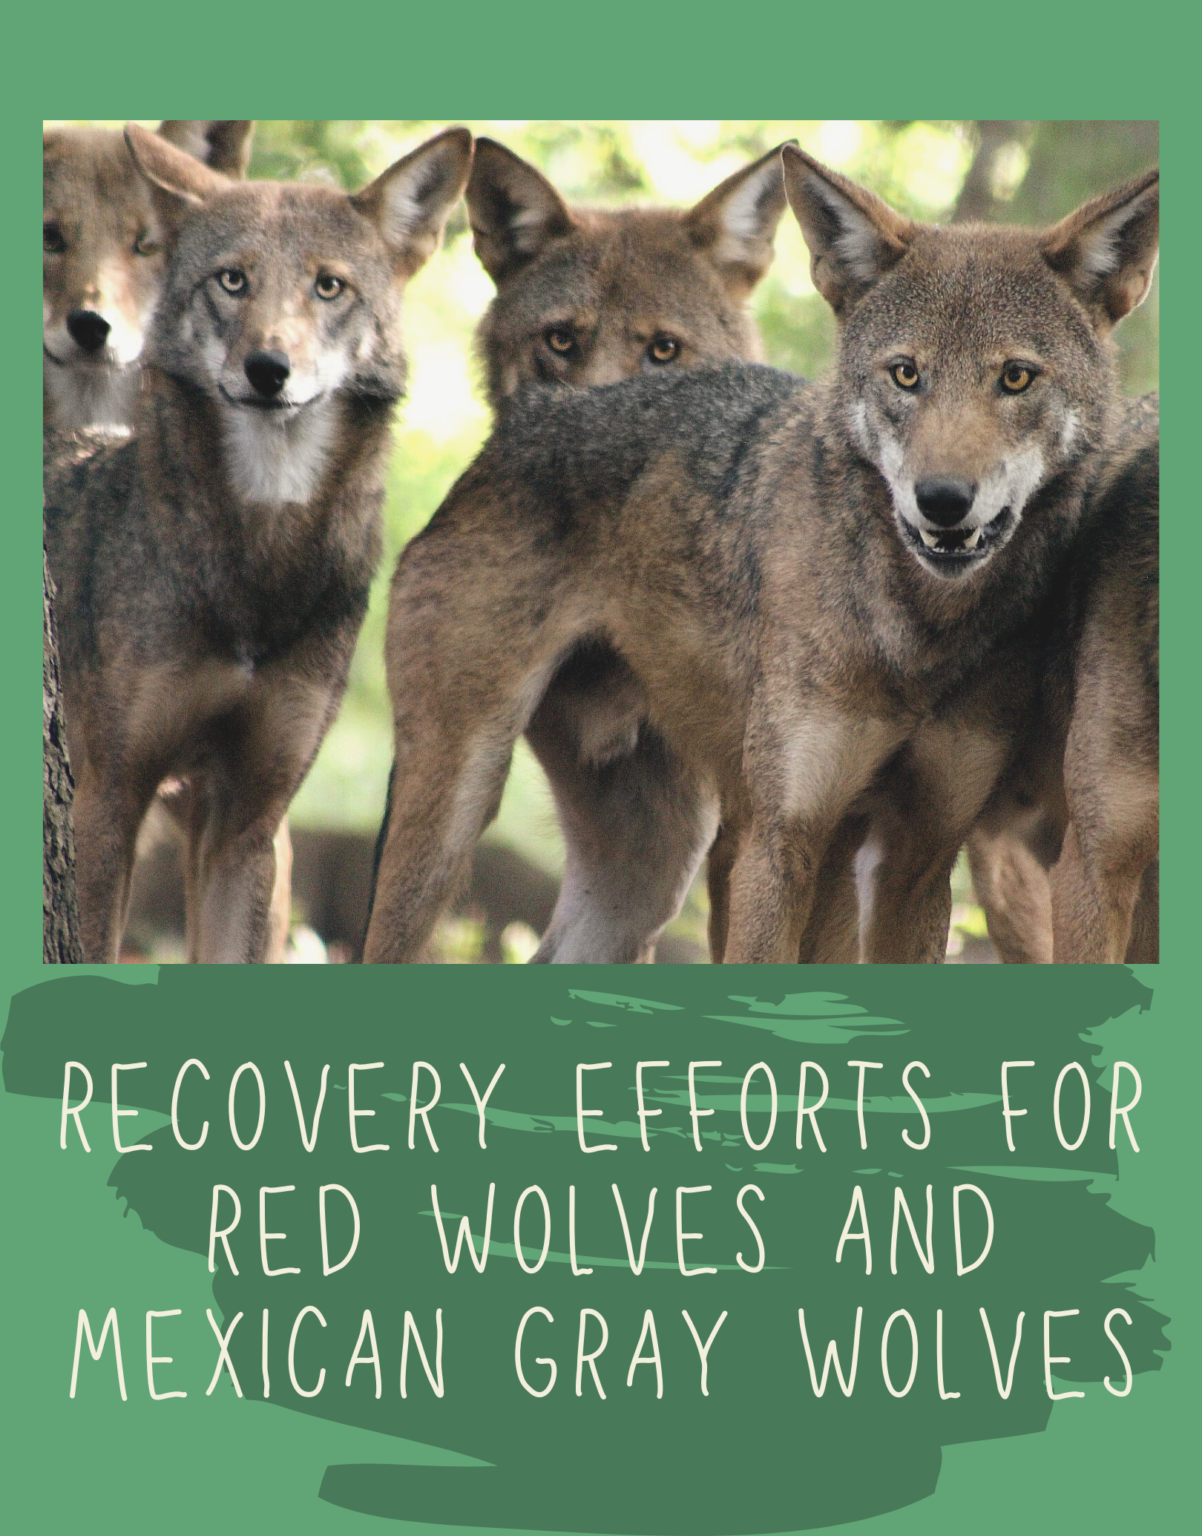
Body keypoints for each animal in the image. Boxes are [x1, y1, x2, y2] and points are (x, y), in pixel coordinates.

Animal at [364, 146, 1157, 965]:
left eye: (1016, 377)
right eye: (906, 373)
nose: (942, 500)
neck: (917, 634)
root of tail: (539, 412)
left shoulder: (916, 857)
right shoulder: (780, 843)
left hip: (651, 875)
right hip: (455, 816)